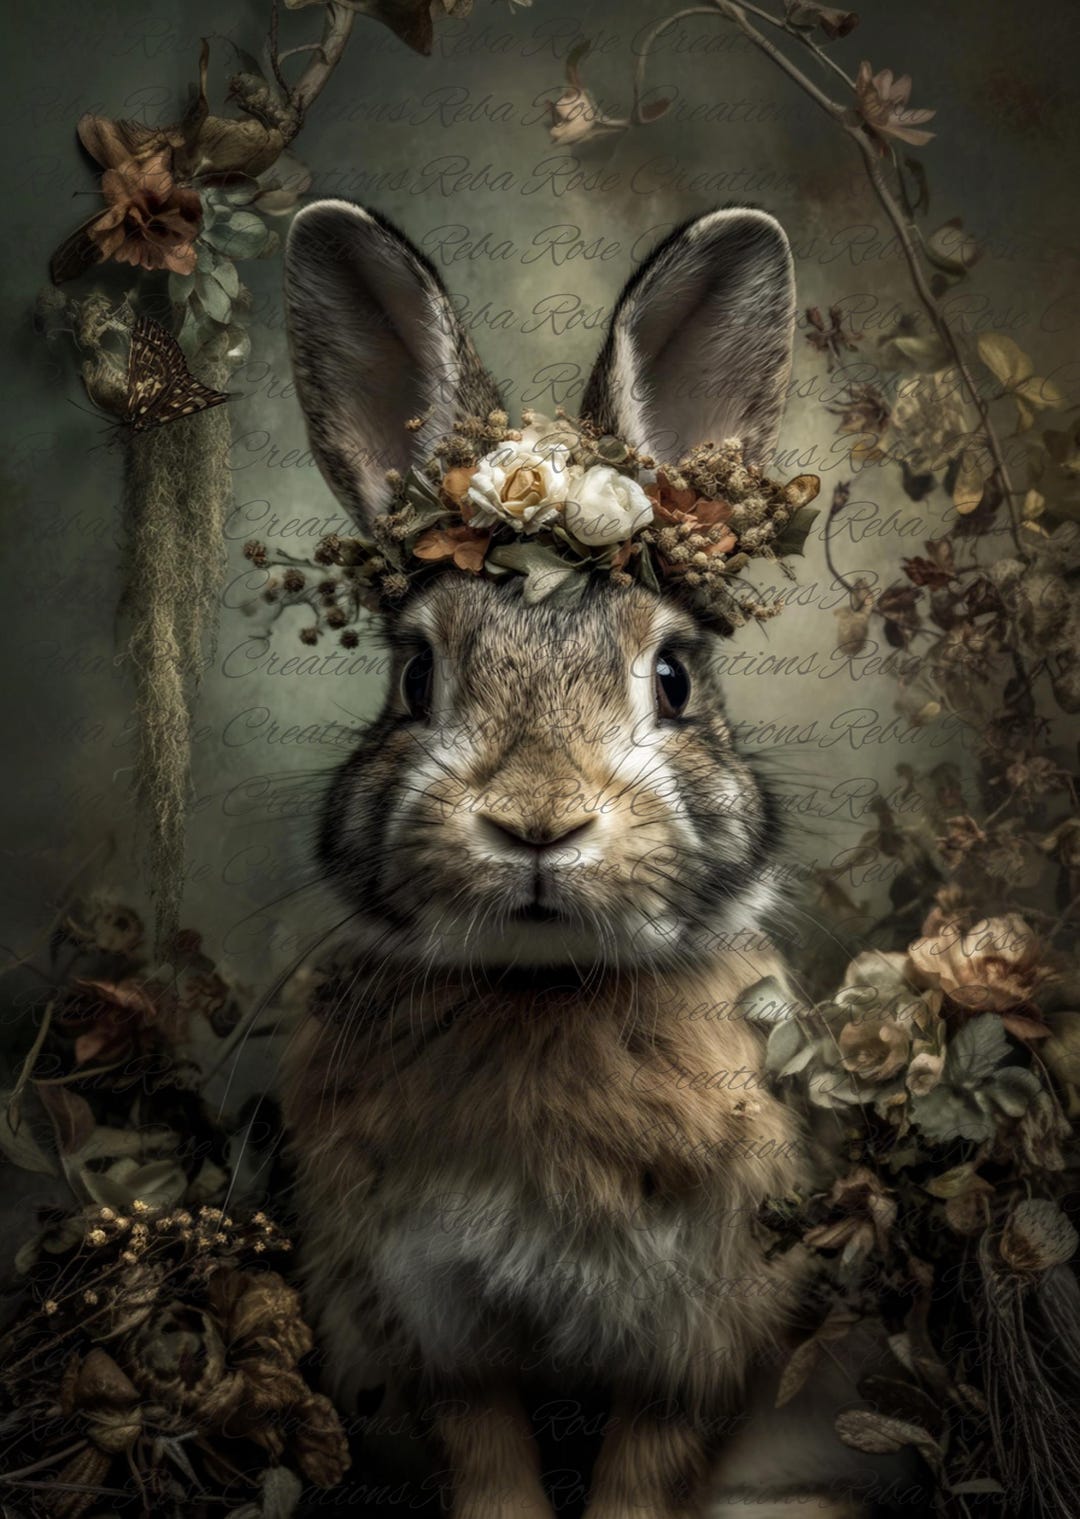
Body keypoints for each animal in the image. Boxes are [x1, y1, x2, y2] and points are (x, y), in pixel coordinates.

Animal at [279, 201, 878, 1519]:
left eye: (675, 678)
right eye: (414, 677)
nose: (539, 821)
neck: (546, 992)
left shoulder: (701, 1332)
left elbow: (645, 1468)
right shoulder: (433, 1321)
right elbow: (487, 1456)